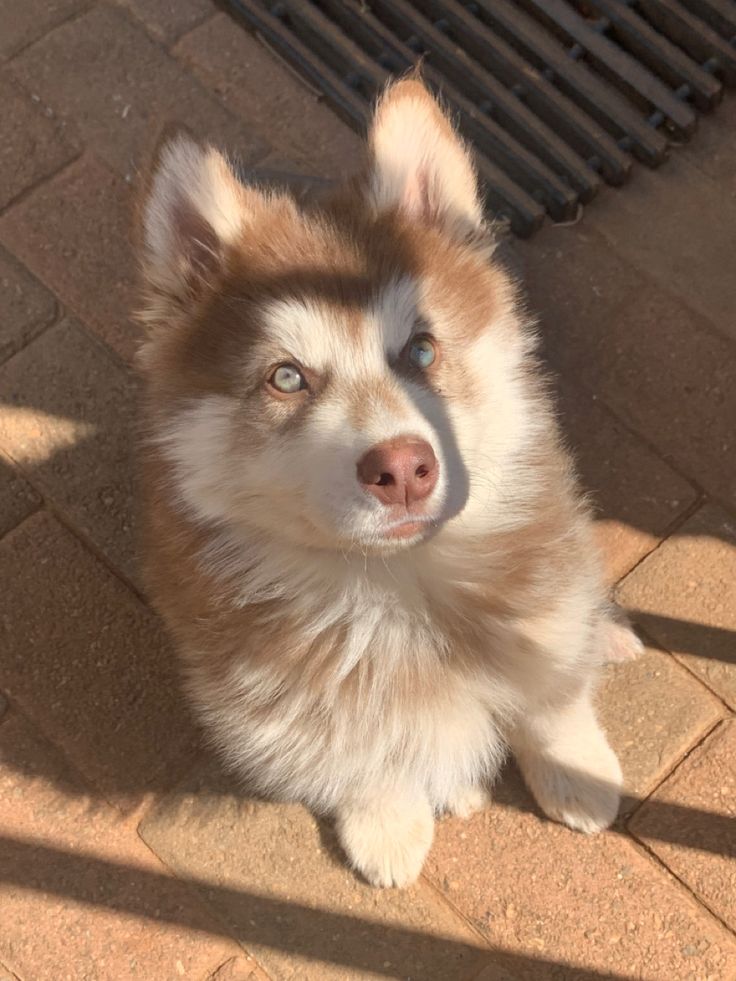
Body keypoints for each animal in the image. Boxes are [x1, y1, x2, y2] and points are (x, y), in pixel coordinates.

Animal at [137, 78, 640, 888]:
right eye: (286, 377)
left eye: (422, 349)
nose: (403, 467)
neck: (401, 586)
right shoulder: (280, 686)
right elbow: (355, 746)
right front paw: (386, 820)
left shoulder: (545, 593)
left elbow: (550, 693)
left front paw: (577, 771)